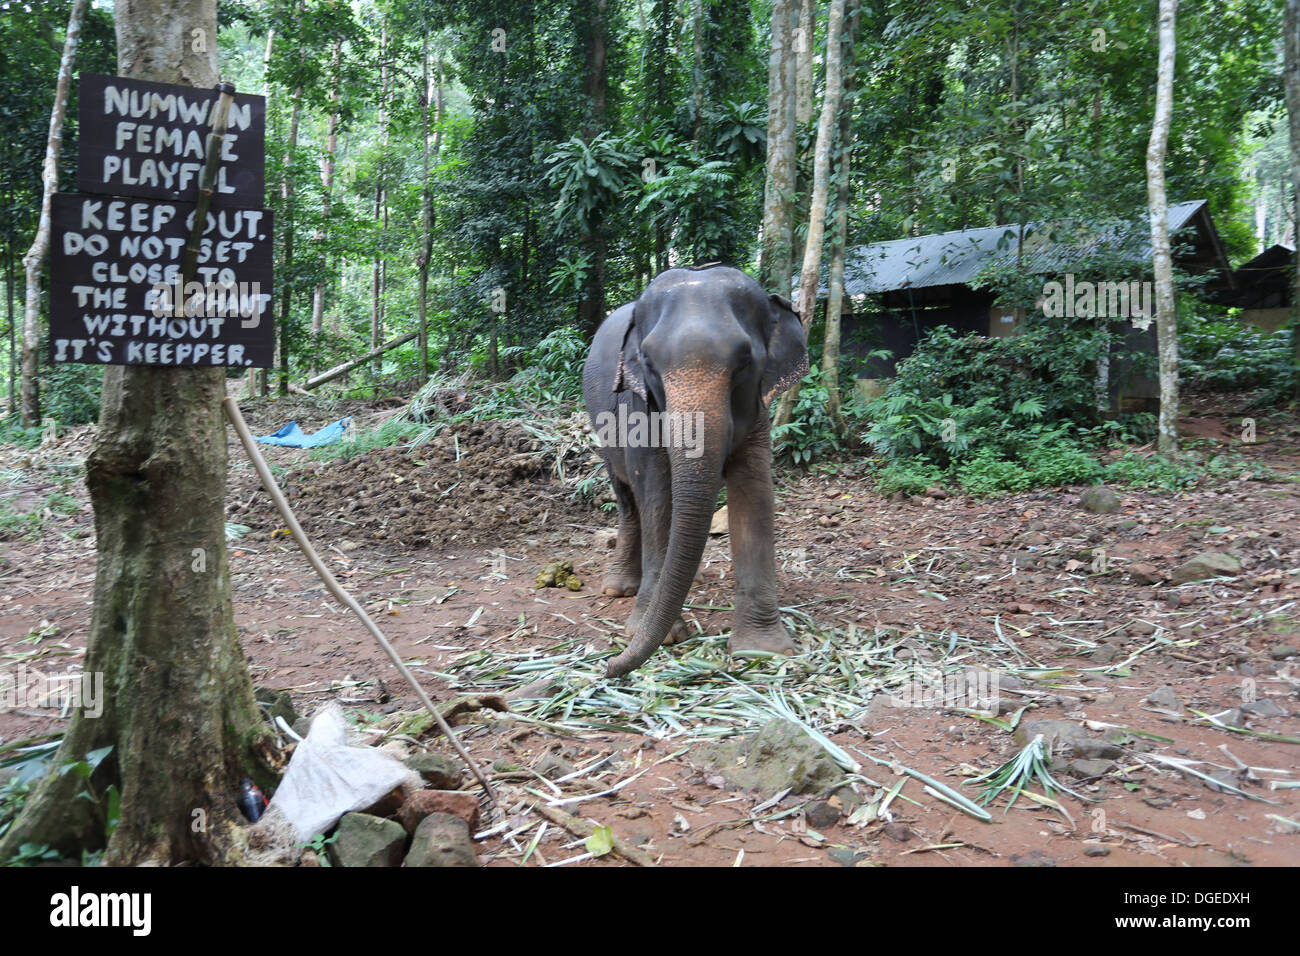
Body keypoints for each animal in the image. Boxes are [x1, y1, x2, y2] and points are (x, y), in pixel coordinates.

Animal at [582, 264, 809, 678]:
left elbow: (753, 493)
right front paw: (658, 633)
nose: (608, 665)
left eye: (745, 360)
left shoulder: (758, 414)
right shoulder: (636, 407)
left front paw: (763, 650)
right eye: (648, 362)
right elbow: (657, 492)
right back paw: (620, 589)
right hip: (601, 429)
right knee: (628, 500)